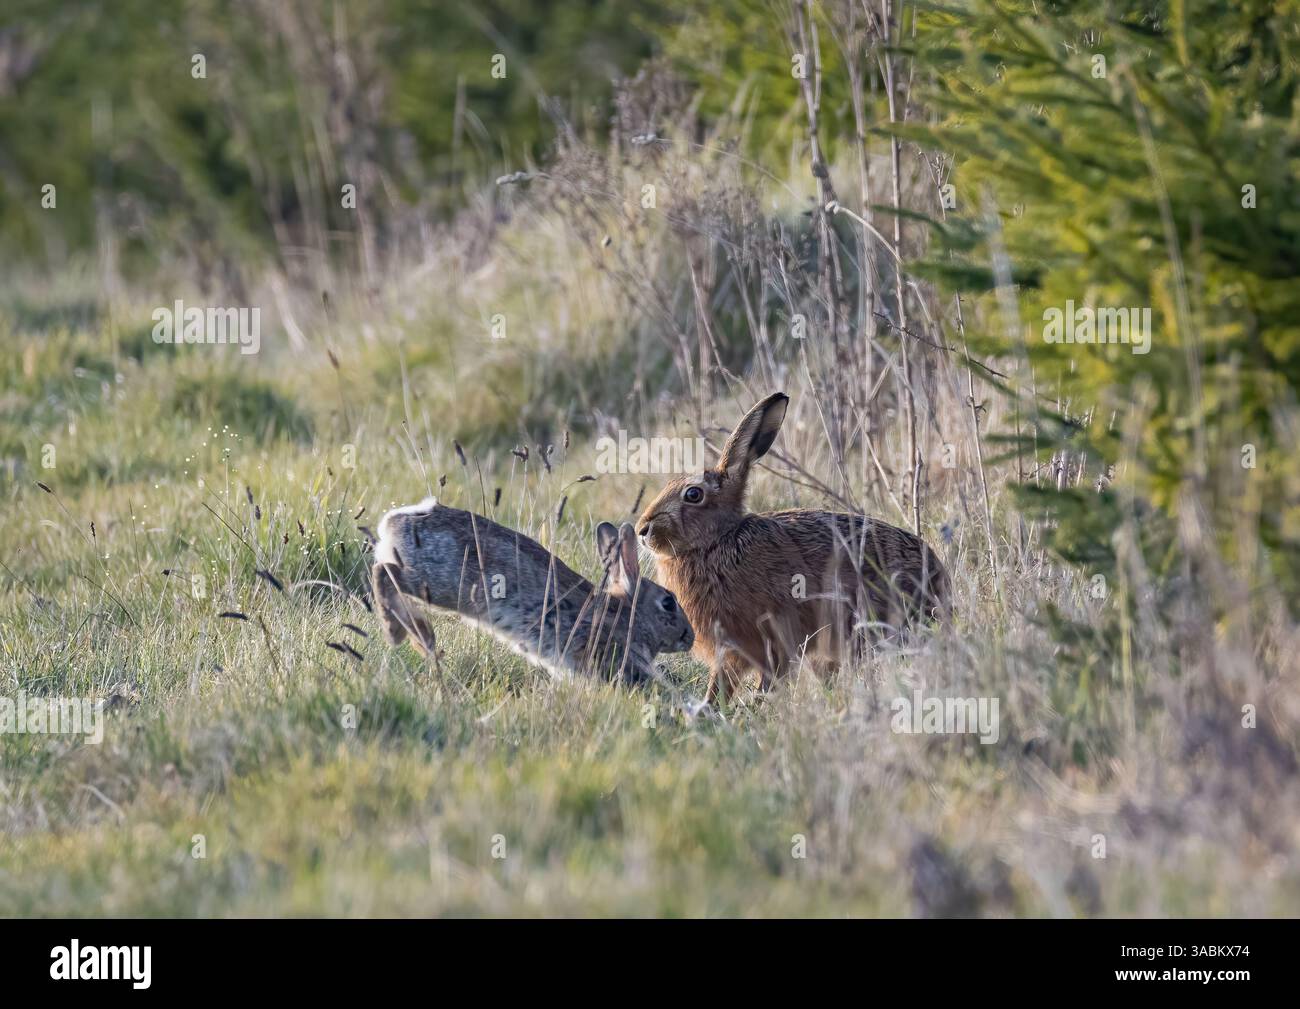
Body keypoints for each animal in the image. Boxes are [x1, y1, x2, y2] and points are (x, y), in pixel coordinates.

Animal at [370, 498, 694, 686]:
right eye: (668, 602)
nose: (689, 637)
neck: (626, 615)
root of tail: (395, 521)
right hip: (438, 582)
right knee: (383, 573)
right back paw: (403, 633)